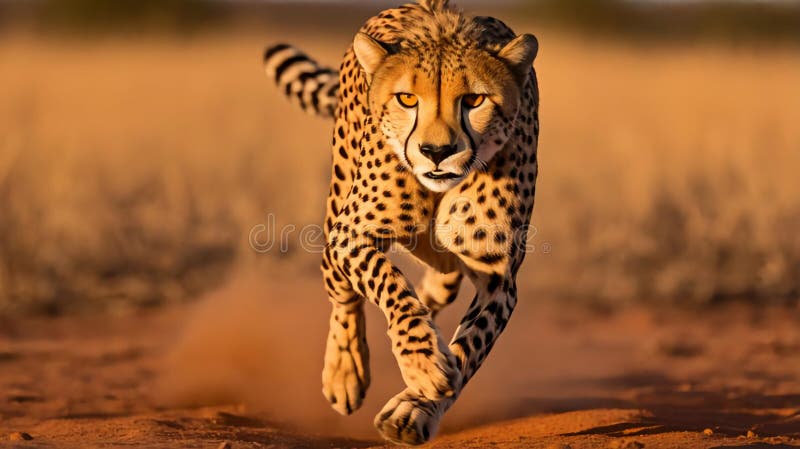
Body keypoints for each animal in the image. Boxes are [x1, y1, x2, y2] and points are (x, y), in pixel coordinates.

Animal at [263, 0, 539, 444]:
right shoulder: (352, 235)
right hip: (336, 211)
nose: (436, 151)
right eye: (407, 98)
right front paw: (423, 362)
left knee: (441, 275)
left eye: (474, 99)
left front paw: (416, 408)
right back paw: (344, 374)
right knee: (342, 293)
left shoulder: (498, 276)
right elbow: (391, 287)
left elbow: (469, 347)